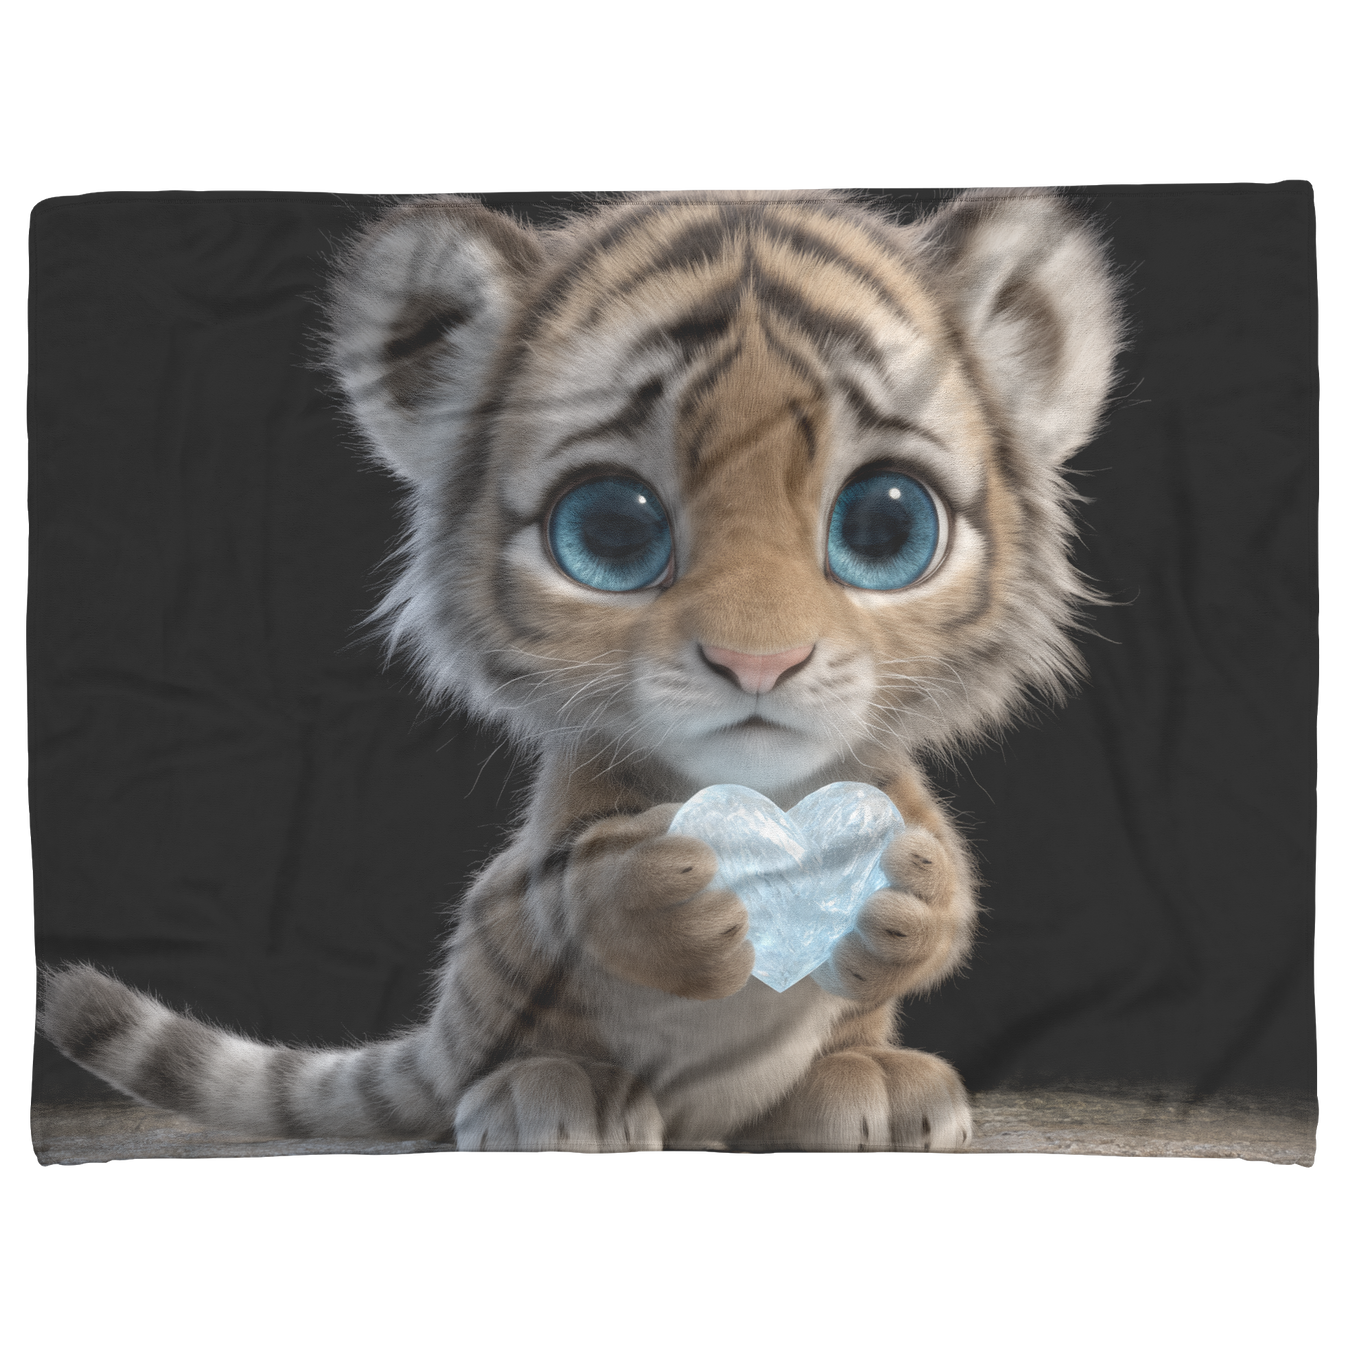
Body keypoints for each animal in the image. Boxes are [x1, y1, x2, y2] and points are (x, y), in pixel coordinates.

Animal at [38, 187, 1123, 1153]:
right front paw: (667, 896)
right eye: (610, 532)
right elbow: (566, 888)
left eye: (885, 528)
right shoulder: (546, 844)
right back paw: (553, 1098)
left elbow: (951, 880)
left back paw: (872, 1084)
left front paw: (908, 894)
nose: (758, 661)